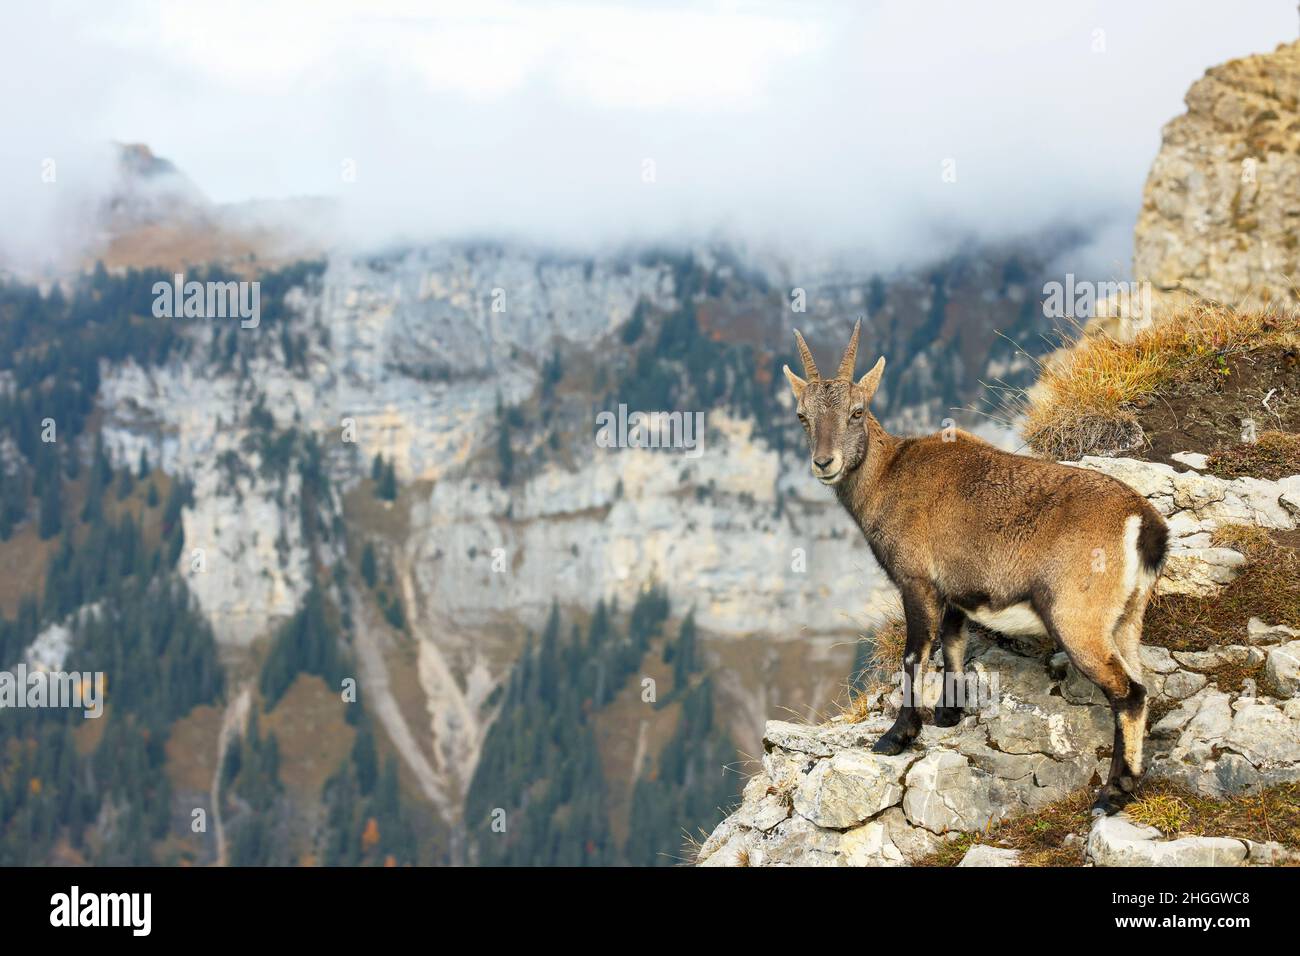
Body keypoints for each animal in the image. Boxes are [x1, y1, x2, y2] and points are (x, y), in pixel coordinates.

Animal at [783, 321, 1168, 814]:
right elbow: (952, 644)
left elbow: (914, 654)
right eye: (802, 416)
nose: (824, 463)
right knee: (1141, 685)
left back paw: (1112, 794)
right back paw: (1128, 781)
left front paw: (897, 736)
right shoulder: (953, 593)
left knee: (1129, 694)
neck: (889, 475)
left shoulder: (917, 582)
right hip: (1127, 619)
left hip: (1077, 619)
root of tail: (1142, 523)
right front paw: (949, 714)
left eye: (856, 411)